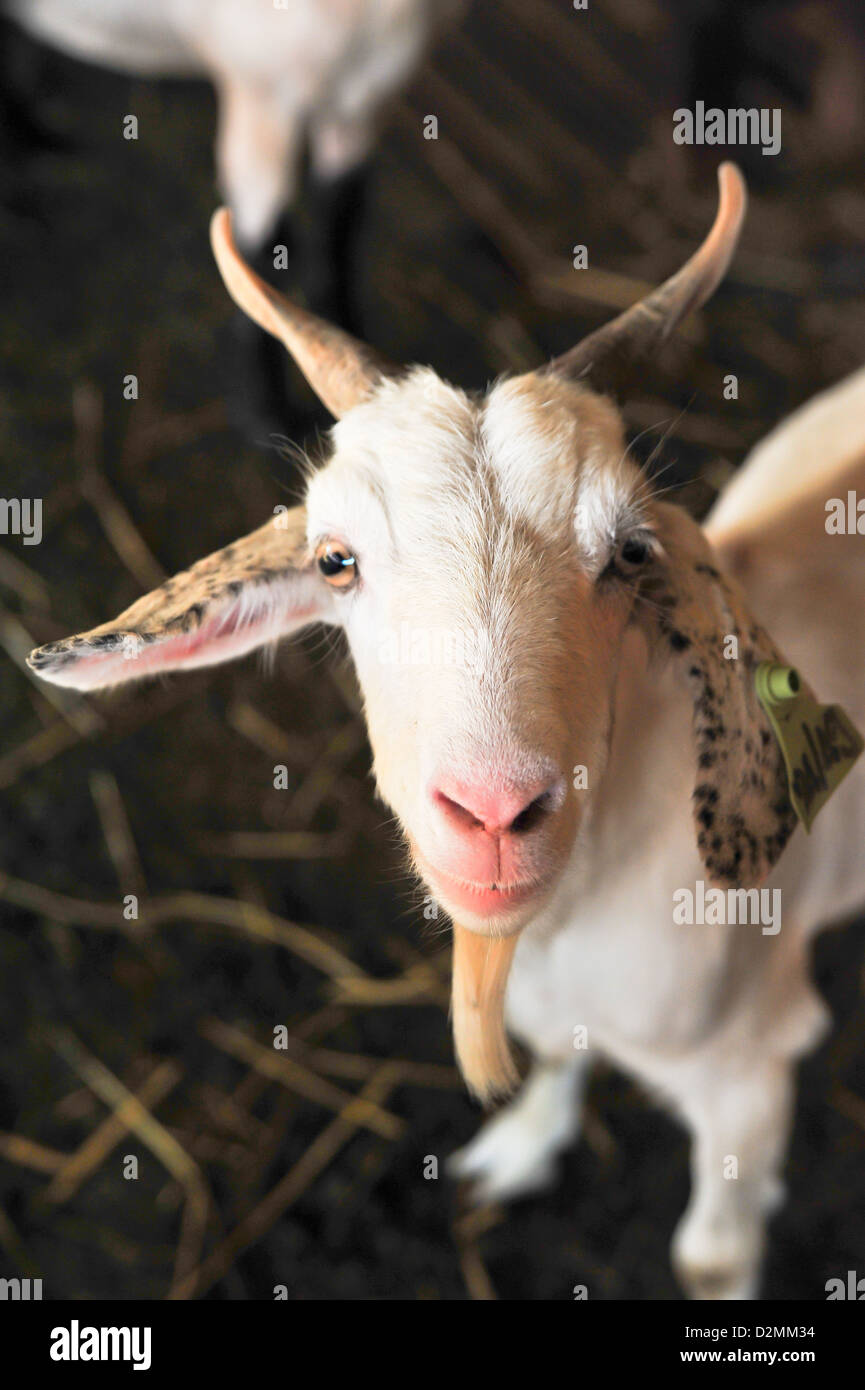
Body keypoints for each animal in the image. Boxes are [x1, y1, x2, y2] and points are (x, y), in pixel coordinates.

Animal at [28, 163, 865, 1300]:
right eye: (334, 560)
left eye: (630, 553)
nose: (496, 812)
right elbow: (556, 1054)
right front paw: (518, 1147)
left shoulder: (750, 1067)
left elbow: (709, 1256)